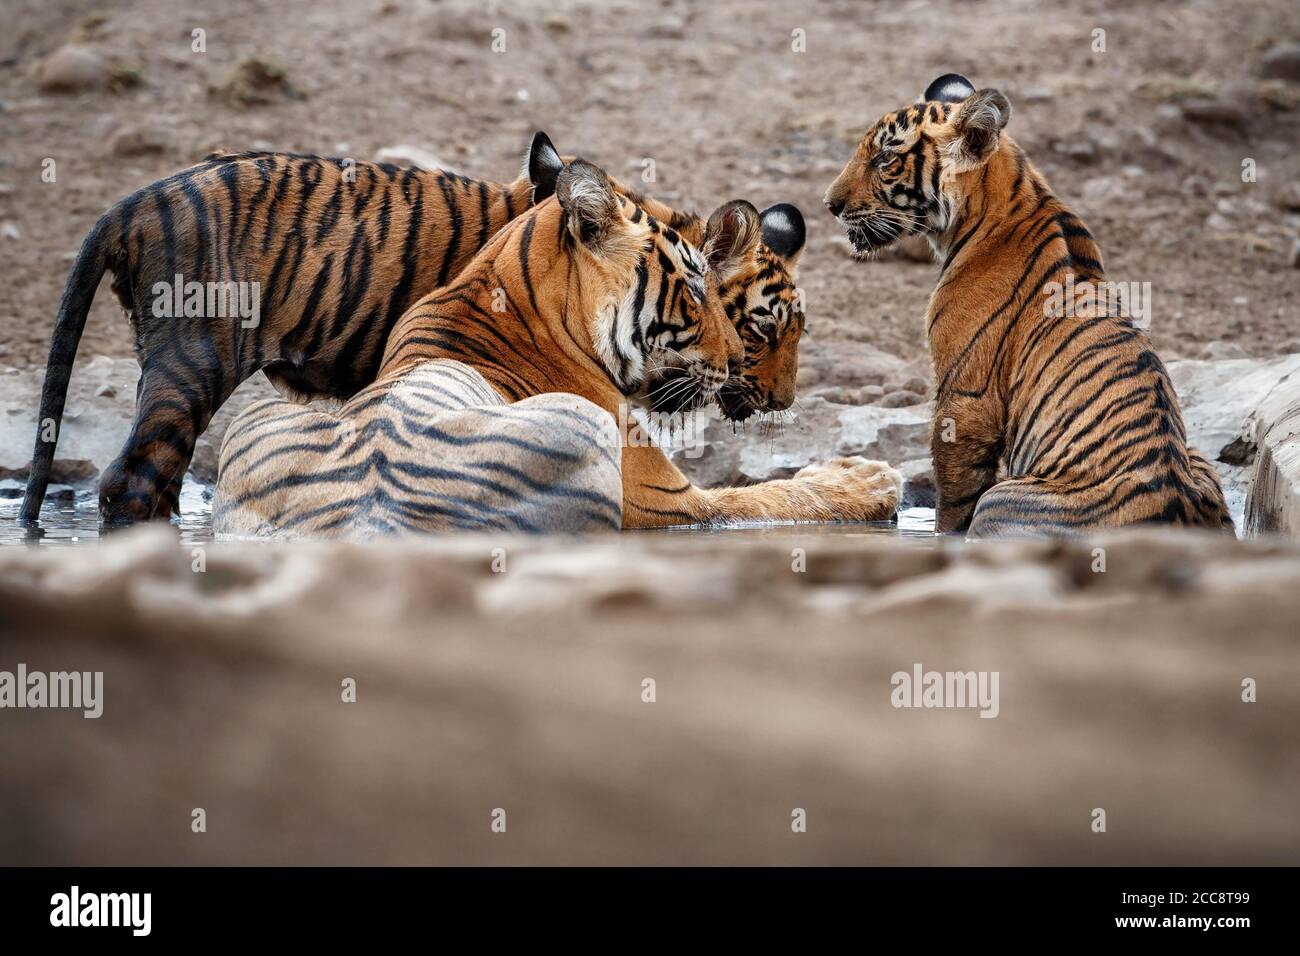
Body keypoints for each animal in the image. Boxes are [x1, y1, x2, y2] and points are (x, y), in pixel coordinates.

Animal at [824, 72, 1232, 538]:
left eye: (885, 159)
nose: (830, 204)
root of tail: (1180, 503)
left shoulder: (966, 396)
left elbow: (953, 500)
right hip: (1198, 458)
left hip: (1000, 499)